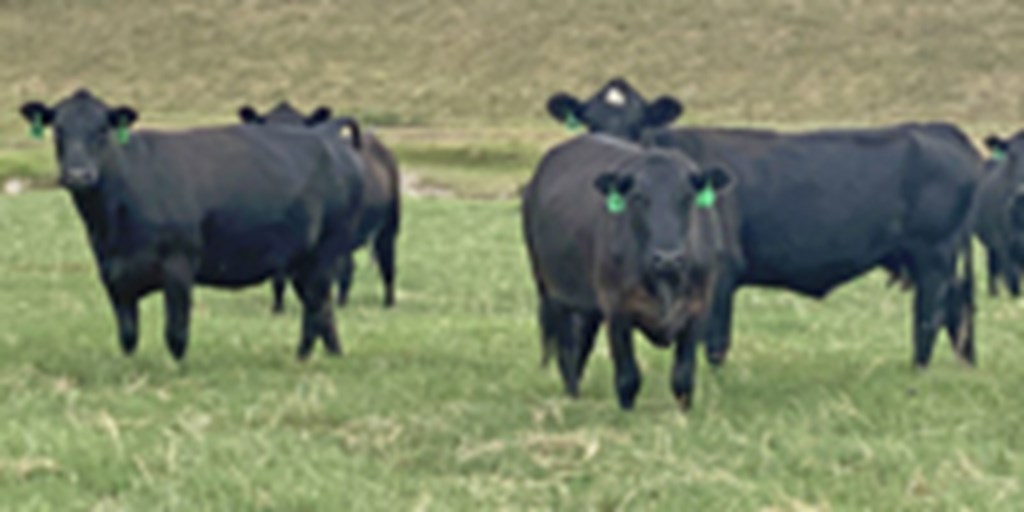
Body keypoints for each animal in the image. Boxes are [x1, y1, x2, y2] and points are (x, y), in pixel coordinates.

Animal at [19, 89, 364, 361]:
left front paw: (177, 370)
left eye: (103, 129)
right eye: (58, 130)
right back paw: (328, 354)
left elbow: (176, 332)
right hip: (301, 260)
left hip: (326, 252)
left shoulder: (179, 264)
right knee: (321, 307)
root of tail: (328, 138)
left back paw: (305, 356)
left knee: (317, 305)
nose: (78, 174)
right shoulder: (112, 272)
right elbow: (128, 335)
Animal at [238, 102, 401, 311]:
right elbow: (279, 275)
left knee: (385, 263)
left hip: (389, 224)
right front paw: (278, 307)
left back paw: (387, 302)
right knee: (349, 267)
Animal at [522, 134, 740, 411]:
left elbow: (683, 376)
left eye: (687, 197)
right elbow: (628, 377)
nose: (667, 259)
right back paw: (572, 396)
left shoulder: (697, 306)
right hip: (552, 293)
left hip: (587, 306)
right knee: (567, 351)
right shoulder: (617, 309)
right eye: (638, 198)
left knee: (581, 346)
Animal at [545, 79, 980, 370]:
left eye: (638, 122)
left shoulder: (720, 275)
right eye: (589, 122)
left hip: (934, 253)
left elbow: (712, 342)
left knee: (931, 312)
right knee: (957, 305)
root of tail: (938, 129)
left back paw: (919, 370)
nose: (608, 159)